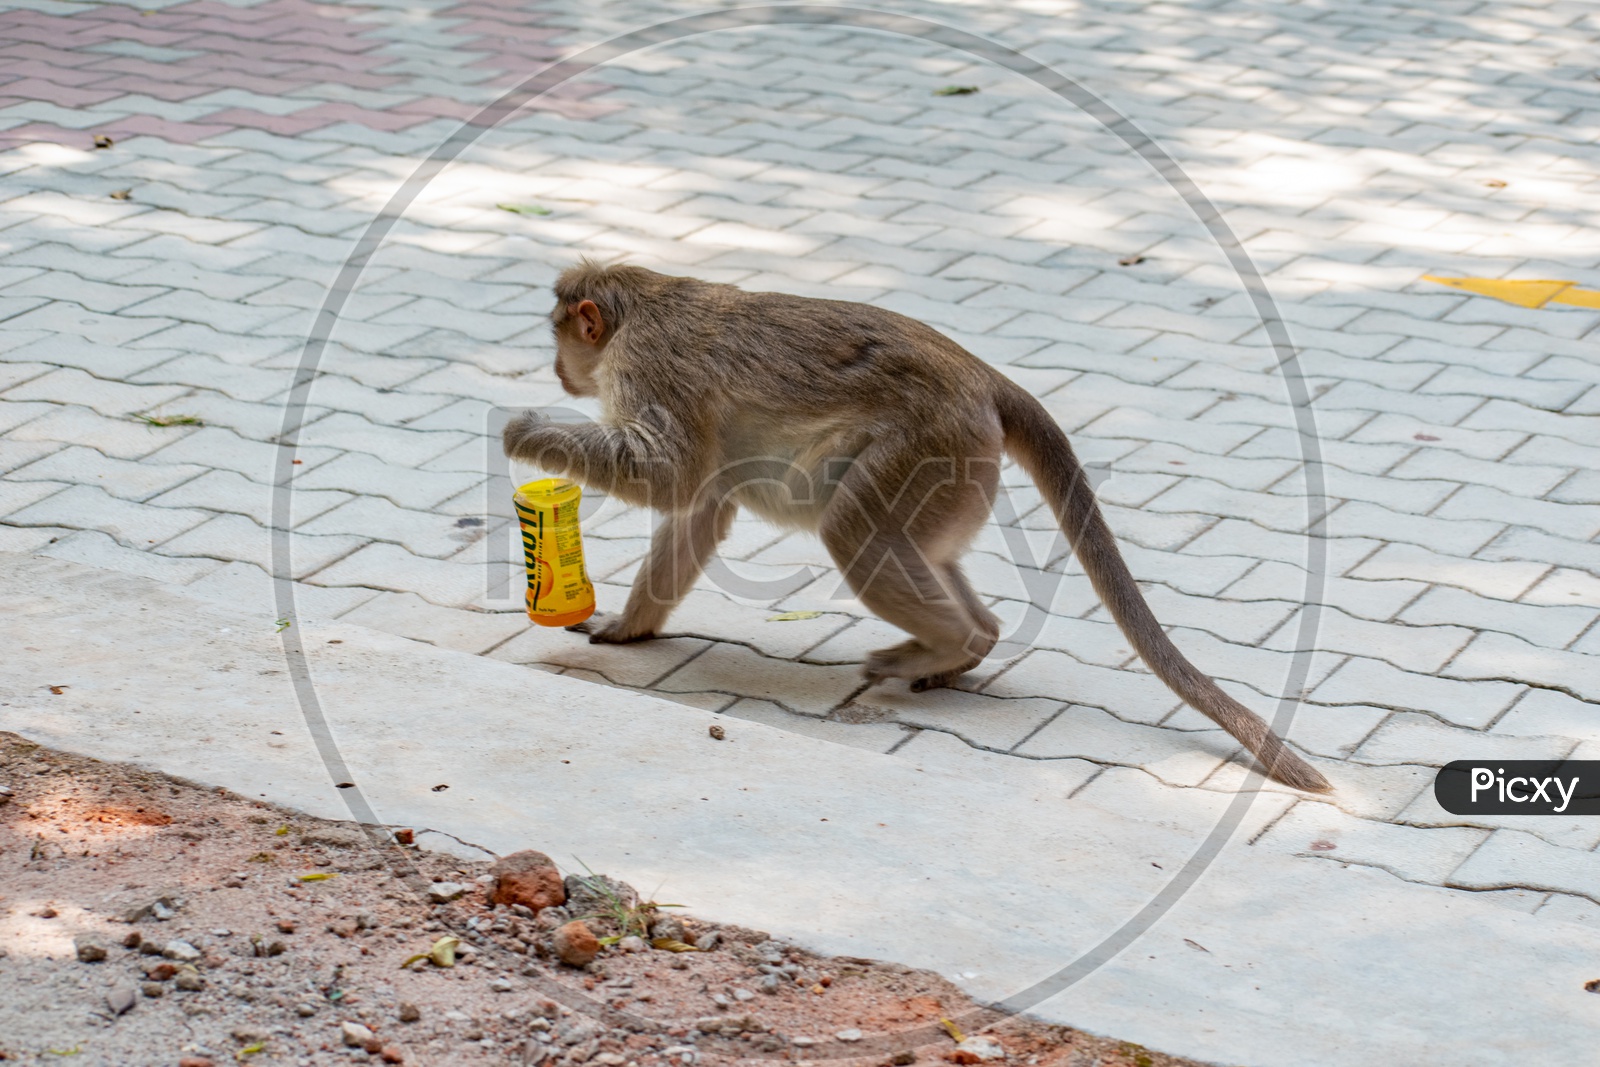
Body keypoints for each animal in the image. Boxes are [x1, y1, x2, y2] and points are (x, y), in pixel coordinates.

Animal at [503, 261, 1331, 793]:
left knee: (851, 527)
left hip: (928, 446)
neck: (645, 305)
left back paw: (949, 643)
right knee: (918, 549)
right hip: (957, 476)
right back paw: (973, 641)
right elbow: (699, 506)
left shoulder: (648, 367)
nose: (557, 369)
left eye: (562, 336)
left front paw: (526, 431)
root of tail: (984, 379)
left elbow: (671, 476)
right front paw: (632, 627)